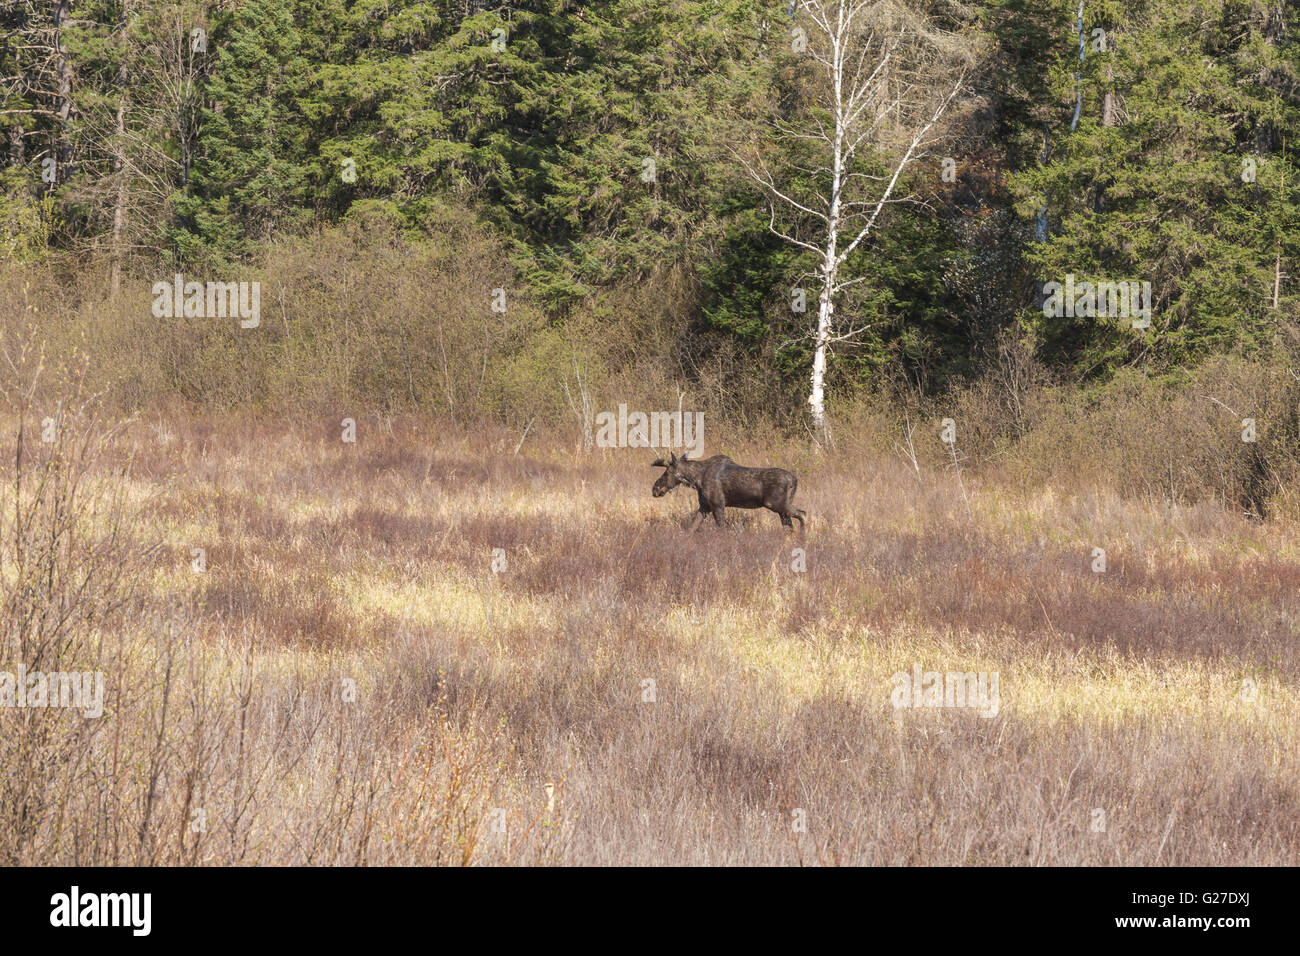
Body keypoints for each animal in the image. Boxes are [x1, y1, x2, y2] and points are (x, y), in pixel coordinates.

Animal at [651, 452, 806, 532]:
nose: (655, 489)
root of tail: (795, 480)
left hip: (775, 504)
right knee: (790, 527)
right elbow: (690, 528)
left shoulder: (718, 505)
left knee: (803, 514)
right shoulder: (705, 507)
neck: (696, 479)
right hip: (781, 510)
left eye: (667, 472)